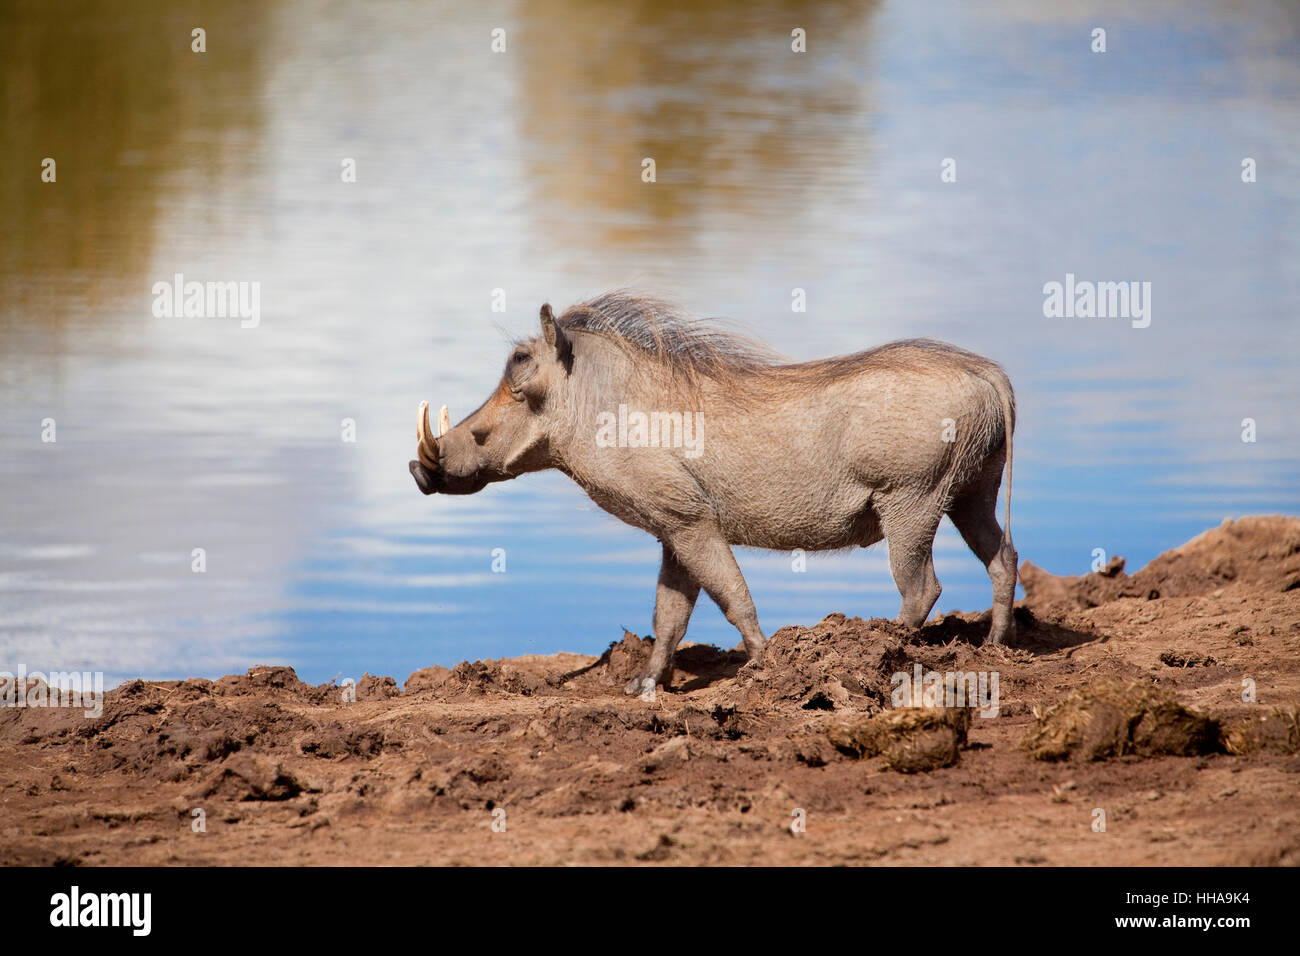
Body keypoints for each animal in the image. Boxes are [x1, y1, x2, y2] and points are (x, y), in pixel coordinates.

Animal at [410, 292, 1017, 695]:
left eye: (520, 375)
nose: (420, 470)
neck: (603, 404)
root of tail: (988, 375)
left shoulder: (690, 521)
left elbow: (732, 597)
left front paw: (764, 667)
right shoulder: (670, 531)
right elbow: (669, 616)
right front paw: (644, 688)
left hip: (912, 501)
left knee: (923, 587)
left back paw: (878, 646)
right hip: (971, 494)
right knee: (1003, 558)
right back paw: (996, 647)